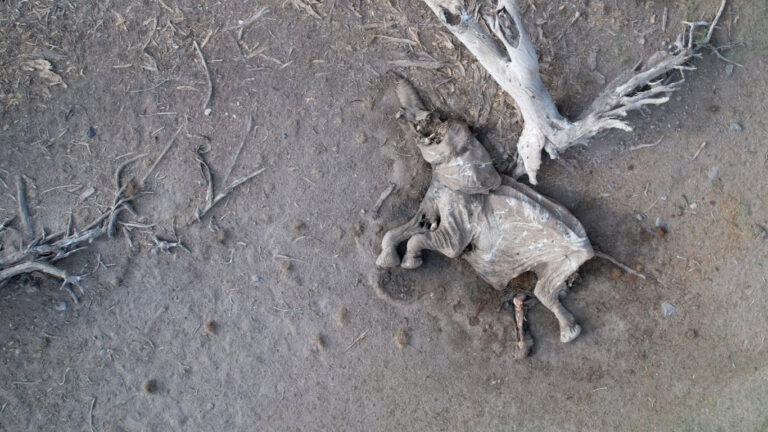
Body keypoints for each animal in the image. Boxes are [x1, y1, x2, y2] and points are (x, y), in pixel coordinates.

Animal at [376, 81, 594, 344]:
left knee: (544, 291)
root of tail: (590, 249)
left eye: (441, 122)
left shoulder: (464, 207)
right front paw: (386, 260)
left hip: (564, 256)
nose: (406, 114)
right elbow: (415, 223)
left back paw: (570, 334)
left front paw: (410, 264)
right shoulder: (439, 189)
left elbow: (448, 244)